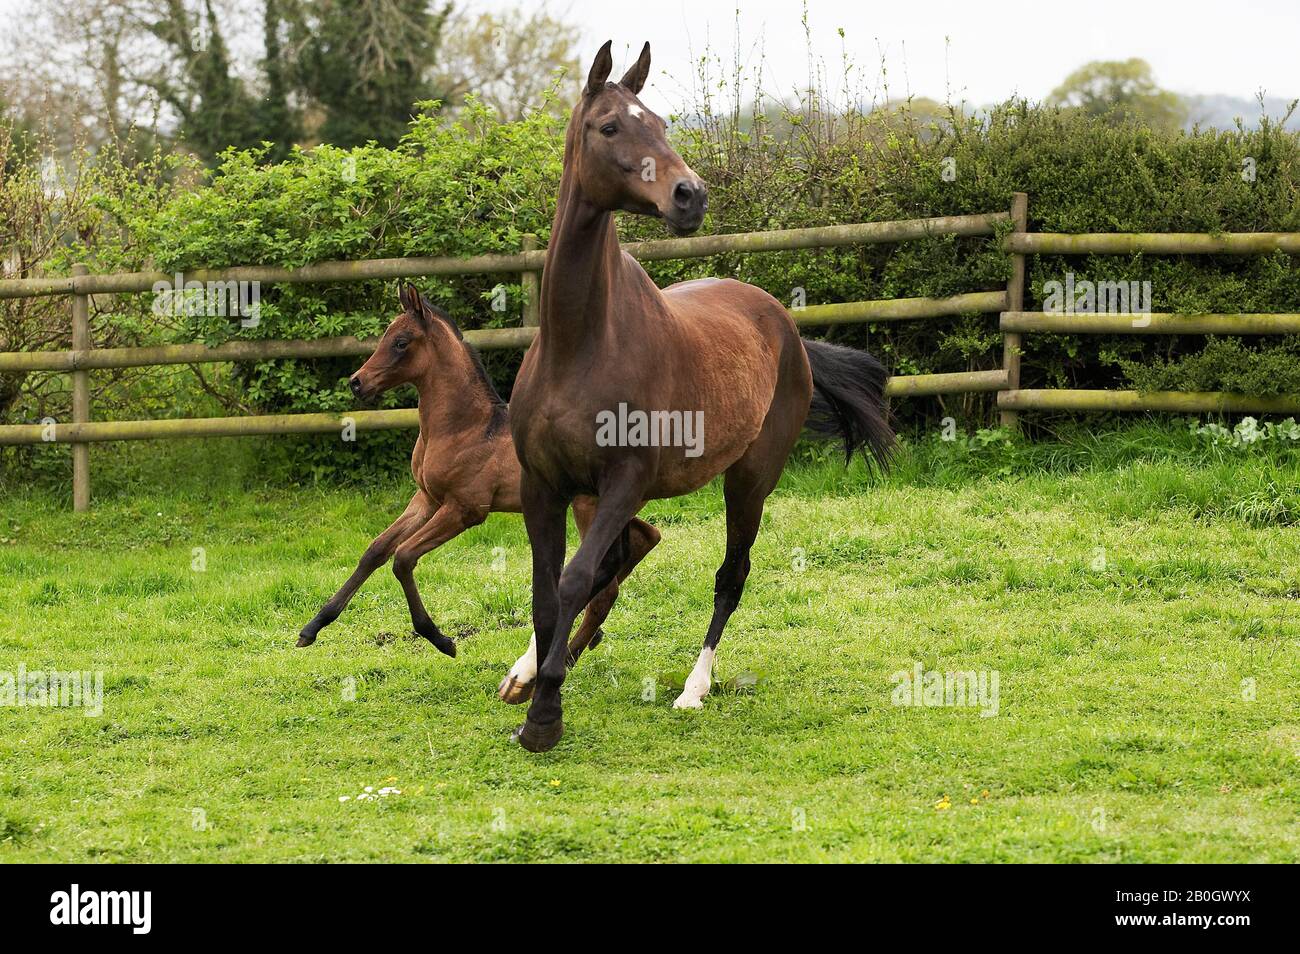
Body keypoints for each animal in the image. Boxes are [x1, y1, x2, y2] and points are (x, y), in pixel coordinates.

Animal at [295, 283, 660, 675]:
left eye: (401, 342)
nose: (357, 382)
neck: (462, 426)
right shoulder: (426, 498)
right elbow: (375, 550)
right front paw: (311, 628)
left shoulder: (465, 509)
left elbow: (403, 557)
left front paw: (442, 640)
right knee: (645, 539)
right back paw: (585, 640)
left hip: (587, 509)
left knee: (608, 585)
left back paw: (564, 656)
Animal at [505, 41, 895, 752]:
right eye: (610, 126)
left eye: (660, 123)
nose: (690, 195)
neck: (580, 343)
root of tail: (784, 325)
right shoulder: (541, 483)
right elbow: (549, 589)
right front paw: (532, 680)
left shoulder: (625, 481)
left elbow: (572, 579)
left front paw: (544, 717)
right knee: (623, 559)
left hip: (749, 480)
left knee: (728, 576)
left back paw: (694, 687)